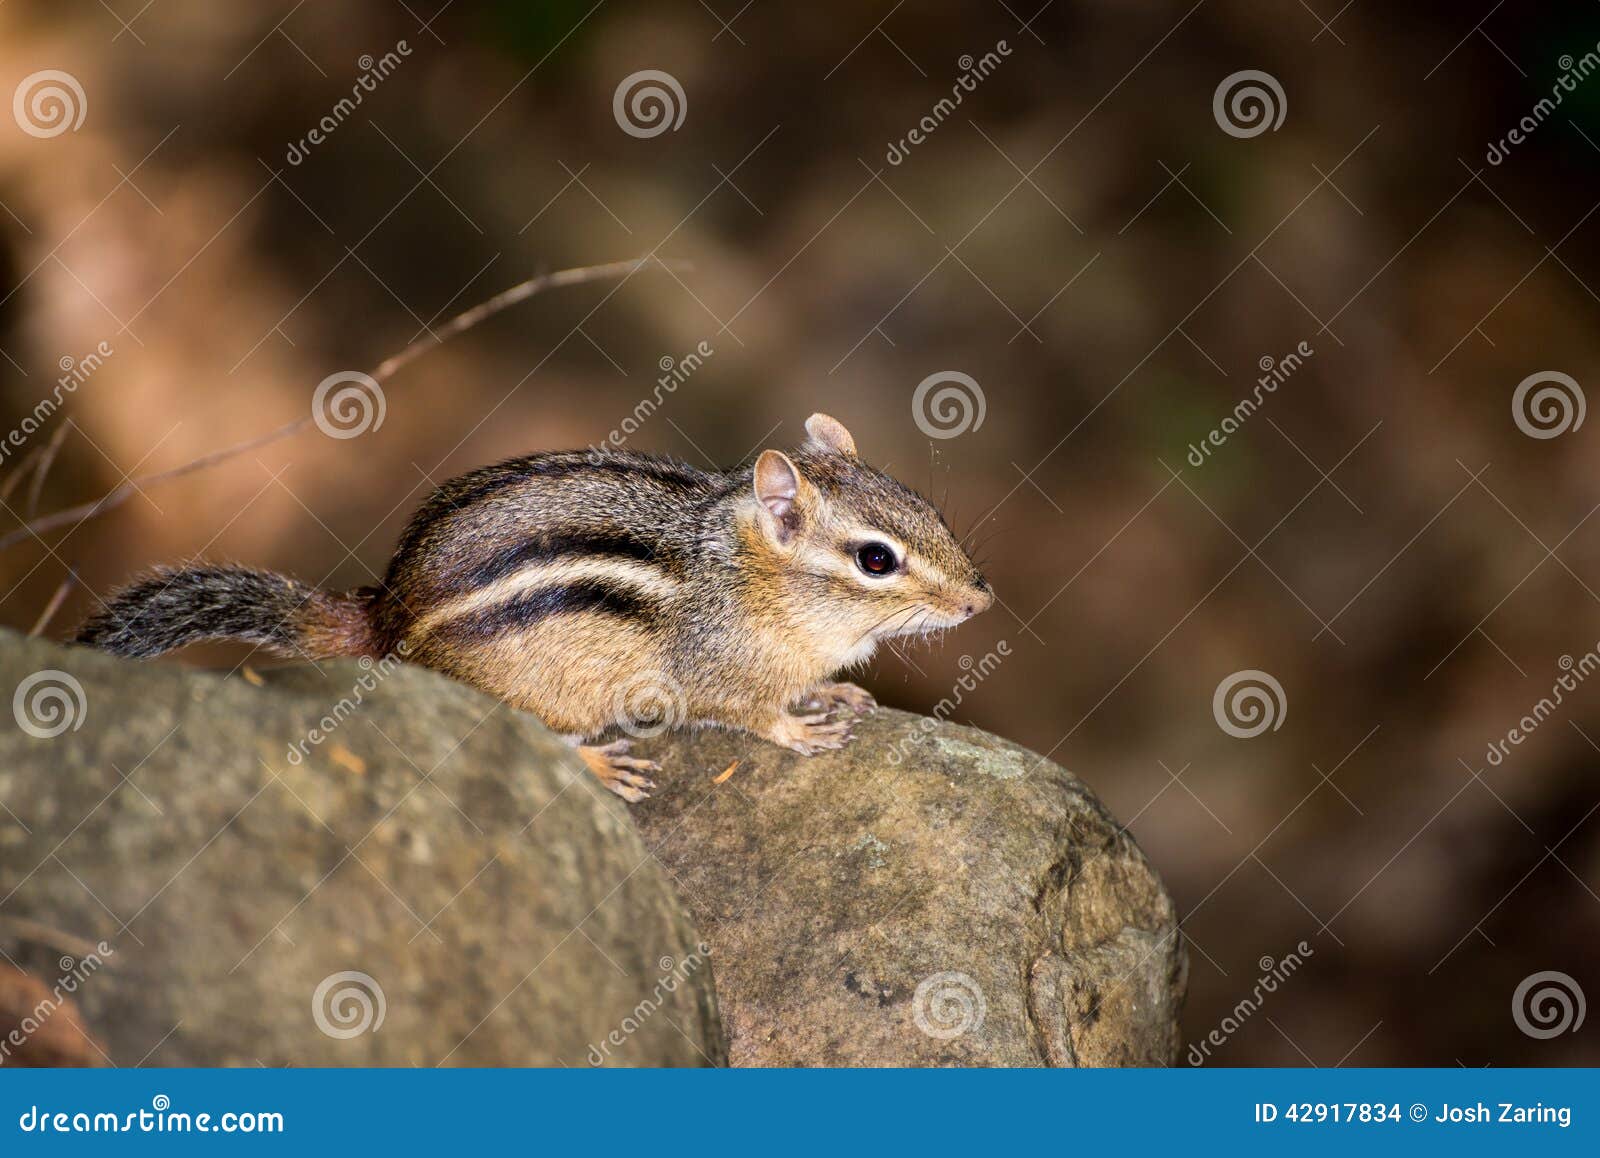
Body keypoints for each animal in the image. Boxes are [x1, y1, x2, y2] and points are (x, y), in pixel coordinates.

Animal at [76, 413, 992, 800]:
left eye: (926, 508)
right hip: (543, 694)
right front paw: (799, 729)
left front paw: (836, 692)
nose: (981, 598)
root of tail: (382, 618)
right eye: (876, 559)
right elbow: (748, 712)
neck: (746, 576)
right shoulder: (717, 668)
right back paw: (598, 766)